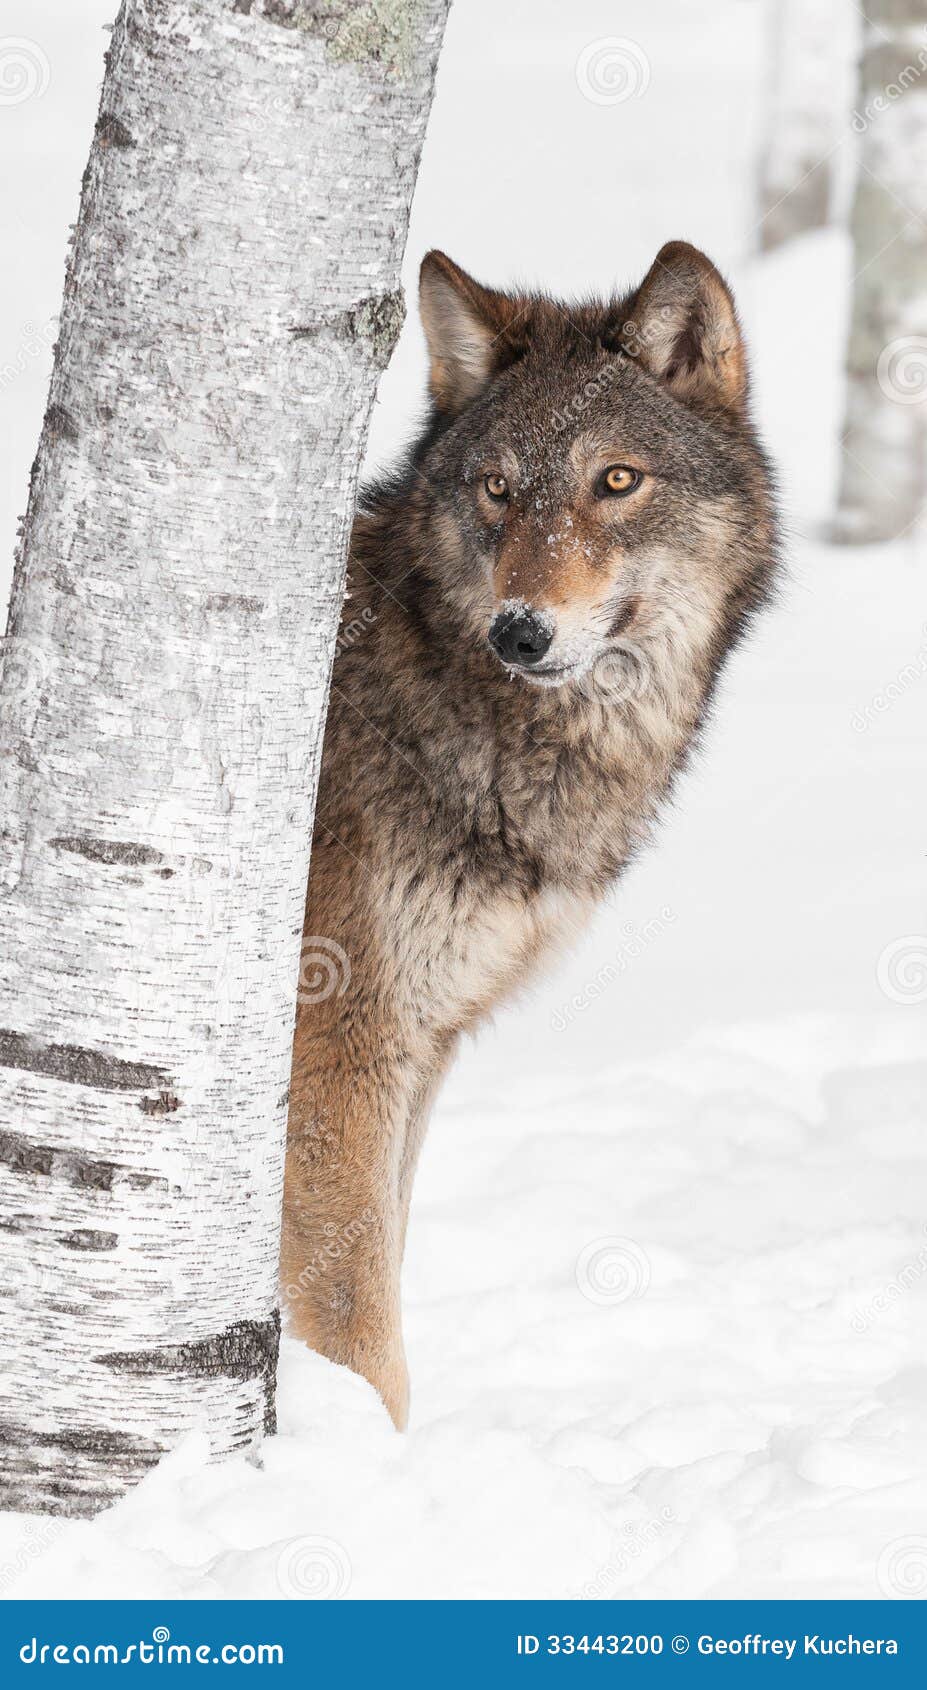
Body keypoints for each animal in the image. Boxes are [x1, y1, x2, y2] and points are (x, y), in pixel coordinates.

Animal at [282, 241, 778, 1426]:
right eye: (498, 490)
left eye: (616, 481)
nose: (520, 631)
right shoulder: (342, 1048)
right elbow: (358, 1326)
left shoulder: (426, 1043)